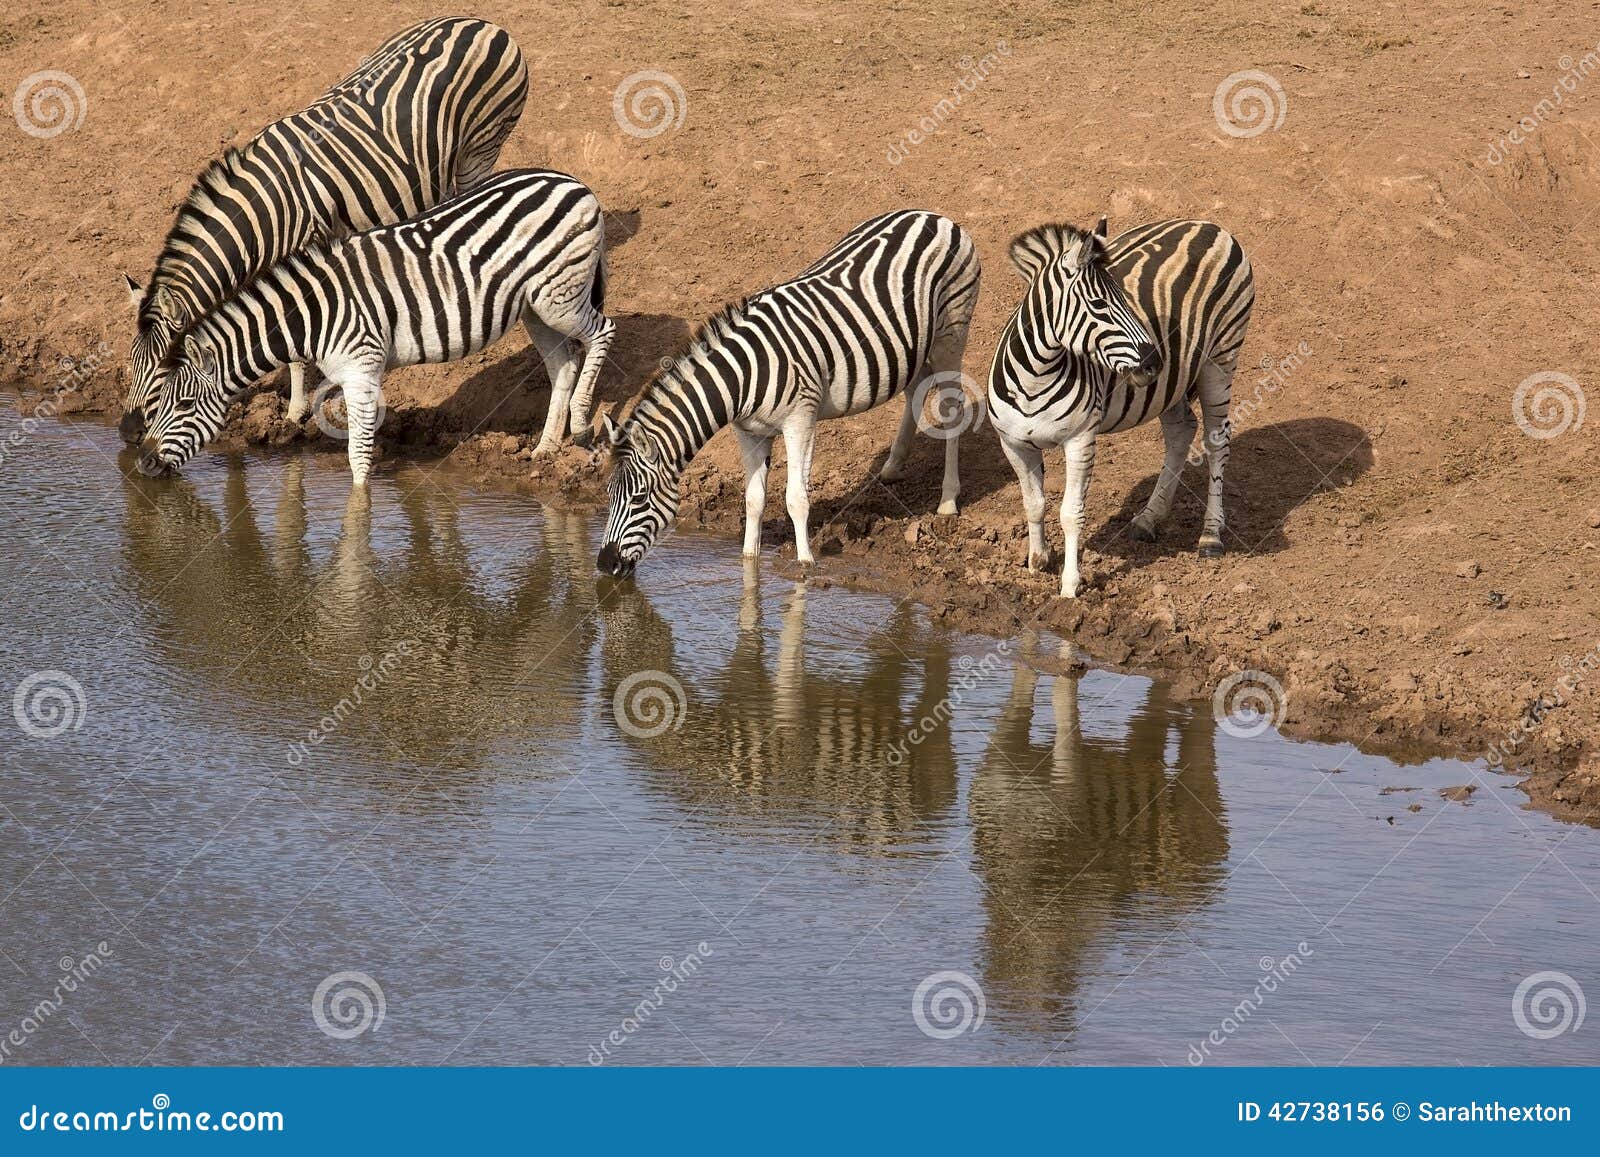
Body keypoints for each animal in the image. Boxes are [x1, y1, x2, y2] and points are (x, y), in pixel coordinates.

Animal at [119, 16, 528, 444]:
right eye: (131, 361)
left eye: (164, 369)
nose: (127, 432)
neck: (264, 213)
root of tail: (482, 23)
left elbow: (298, 352)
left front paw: (295, 411)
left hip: (480, 148)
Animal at [135, 168, 614, 484]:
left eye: (182, 405)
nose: (140, 463)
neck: (312, 316)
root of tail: (571, 181)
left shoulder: (361, 371)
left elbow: (358, 458)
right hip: (535, 306)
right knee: (562, 364)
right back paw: (546, 448)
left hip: (559, 297)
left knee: (603, 331)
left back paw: (581, 423)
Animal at [596, 209, 981, 578]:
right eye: (608, 495)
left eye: (640, 500)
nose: (603, 564)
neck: (743, 376)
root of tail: (934, 216)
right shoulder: (748, 432)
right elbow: (754, 499)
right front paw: (749, 561)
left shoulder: (800, 421)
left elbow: (796, 498)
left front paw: (806, 564)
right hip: (912, 349)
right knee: (915, 388)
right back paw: (893, 465)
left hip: (952, 332)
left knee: (953, 406)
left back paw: (948, 500)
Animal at [987, 217, 1254, 597]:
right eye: (1099, 304)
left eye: (1127, 299)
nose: (1154, 362)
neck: (1035, 376)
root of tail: (1210, 225)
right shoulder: (1013, 443)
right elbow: (1034, 503)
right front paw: (1037, 561)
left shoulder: (1081, 441)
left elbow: (1071, 513)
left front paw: (1070, 586)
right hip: (1170, 384)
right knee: (1181, 431)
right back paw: (1149, 519)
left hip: (1221, 358)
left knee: (1217, 441)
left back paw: (1211, 535)